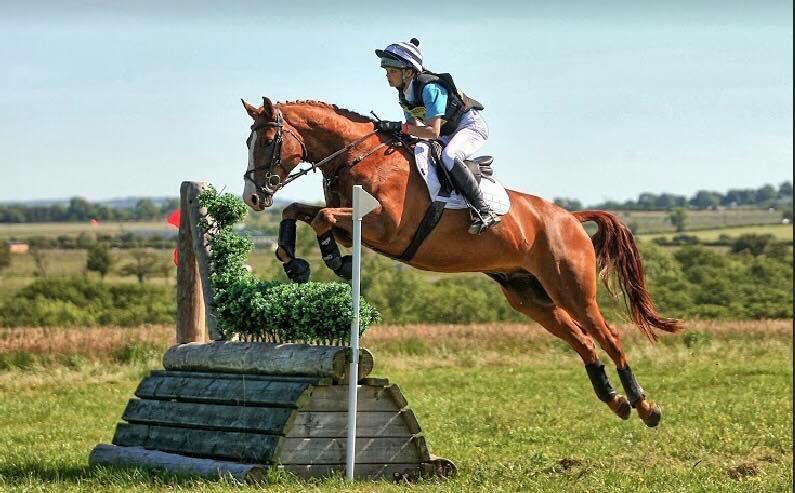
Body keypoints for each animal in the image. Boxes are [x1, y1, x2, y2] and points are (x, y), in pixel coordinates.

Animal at [240, 97, 683, 427]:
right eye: (249, 142)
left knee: (610, 337)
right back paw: (615, 402)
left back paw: (645, 406)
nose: (254, 197)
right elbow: (300, 212)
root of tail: (570, 218)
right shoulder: (356, 227)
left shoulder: (386, 226)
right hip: (530, 297)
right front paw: (293, 262)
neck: (360, 157)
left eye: (268, 141)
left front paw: (336, 262)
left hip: (572, 290)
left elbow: (321, 219)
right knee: (584, 341)